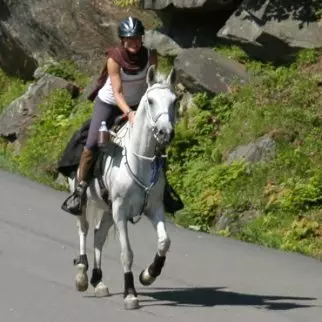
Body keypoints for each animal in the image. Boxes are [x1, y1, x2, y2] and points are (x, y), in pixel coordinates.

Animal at [69, 65, 177, 310]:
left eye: (175, 100)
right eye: (151, 100)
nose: (165, 133)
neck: (140, 160)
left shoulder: (154, 208)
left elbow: (164, 242)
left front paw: (149, 274)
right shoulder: (120, 211)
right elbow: (127, 253)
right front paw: (130, 294)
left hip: (107, 210)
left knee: (98, 236)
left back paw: (98, 282)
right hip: (83, 201)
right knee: (84, 230)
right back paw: (82, 275)